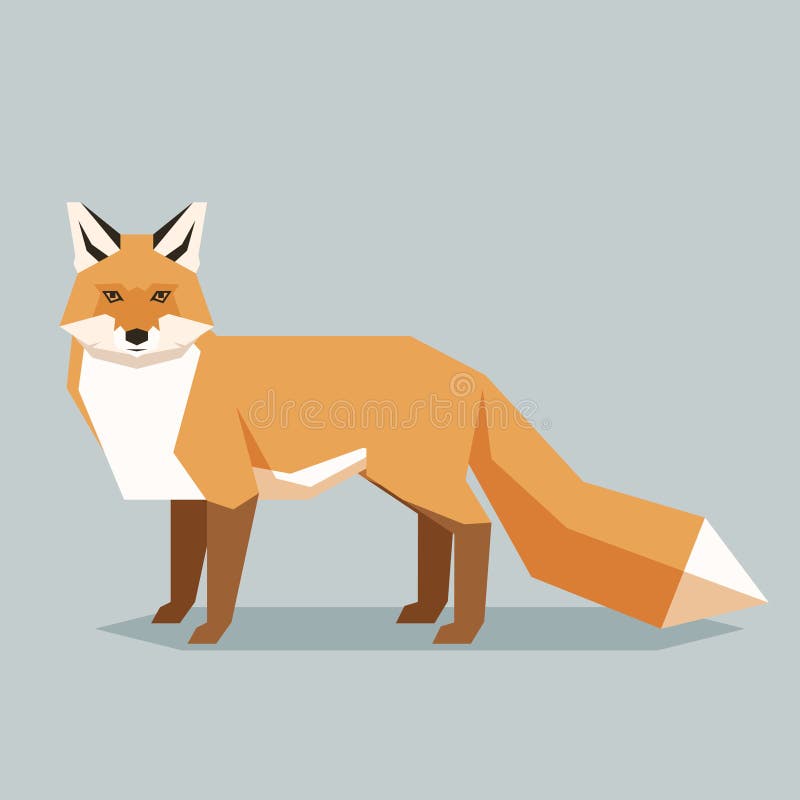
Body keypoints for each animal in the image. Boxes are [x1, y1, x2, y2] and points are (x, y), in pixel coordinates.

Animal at [62, 203, 765, 646]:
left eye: (161, 296)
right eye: (112, 295)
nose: (135, 335)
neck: (146, 402)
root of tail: (464, 366)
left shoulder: (233, 493)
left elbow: (223, 581)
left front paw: (209, 633)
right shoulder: (185, 494)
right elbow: (183, 568)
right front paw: (172, 616)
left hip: (418, 479)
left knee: (476, 528)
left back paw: (462, 630)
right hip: (408, 483)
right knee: (440, 535)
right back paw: (426, 612)